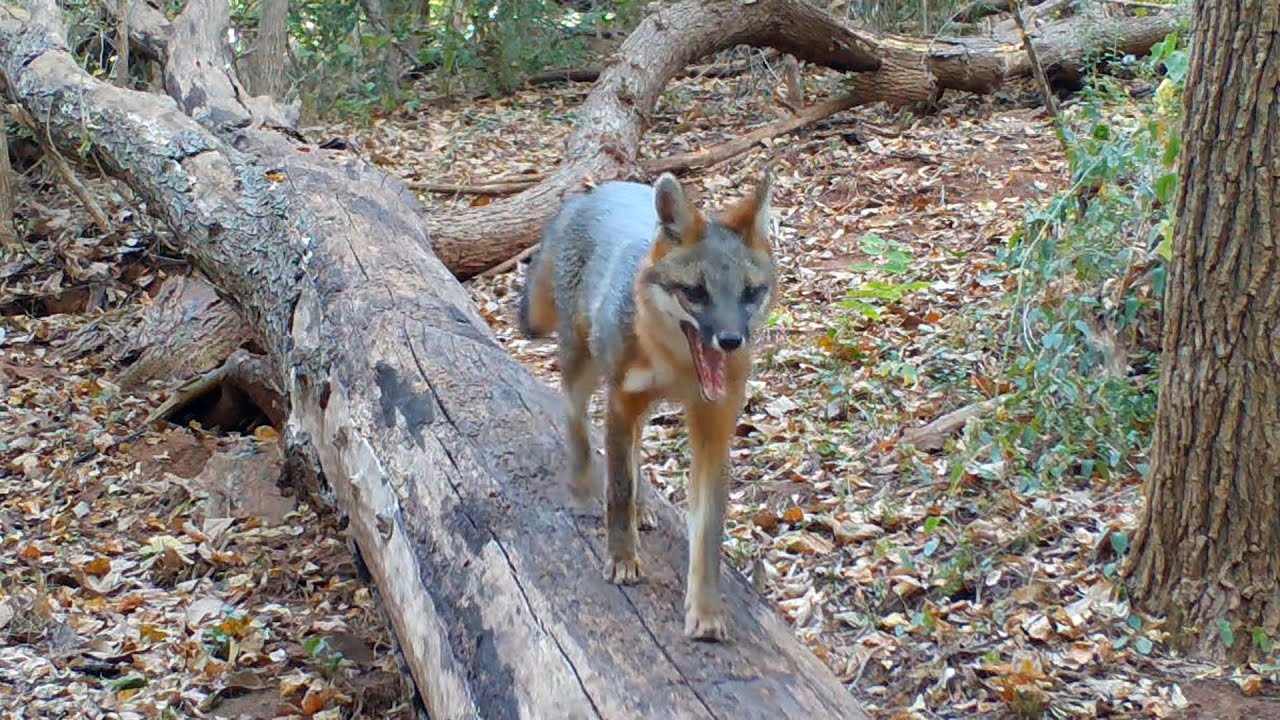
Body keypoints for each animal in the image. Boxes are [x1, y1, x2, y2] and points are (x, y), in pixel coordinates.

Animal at [517, 170, 776, 641]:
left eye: (750, 293)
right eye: (696, 292)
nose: (731, 340)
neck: (677, 368)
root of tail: (593, 193)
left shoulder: (713, 427)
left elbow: (708, 531)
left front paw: (705, 610)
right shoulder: (620, 402)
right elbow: (617, 487)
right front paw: (622, 559)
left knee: (635, 450)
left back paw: (642, 508)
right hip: (583, 370)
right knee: (575, 421)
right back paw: (581, 485)